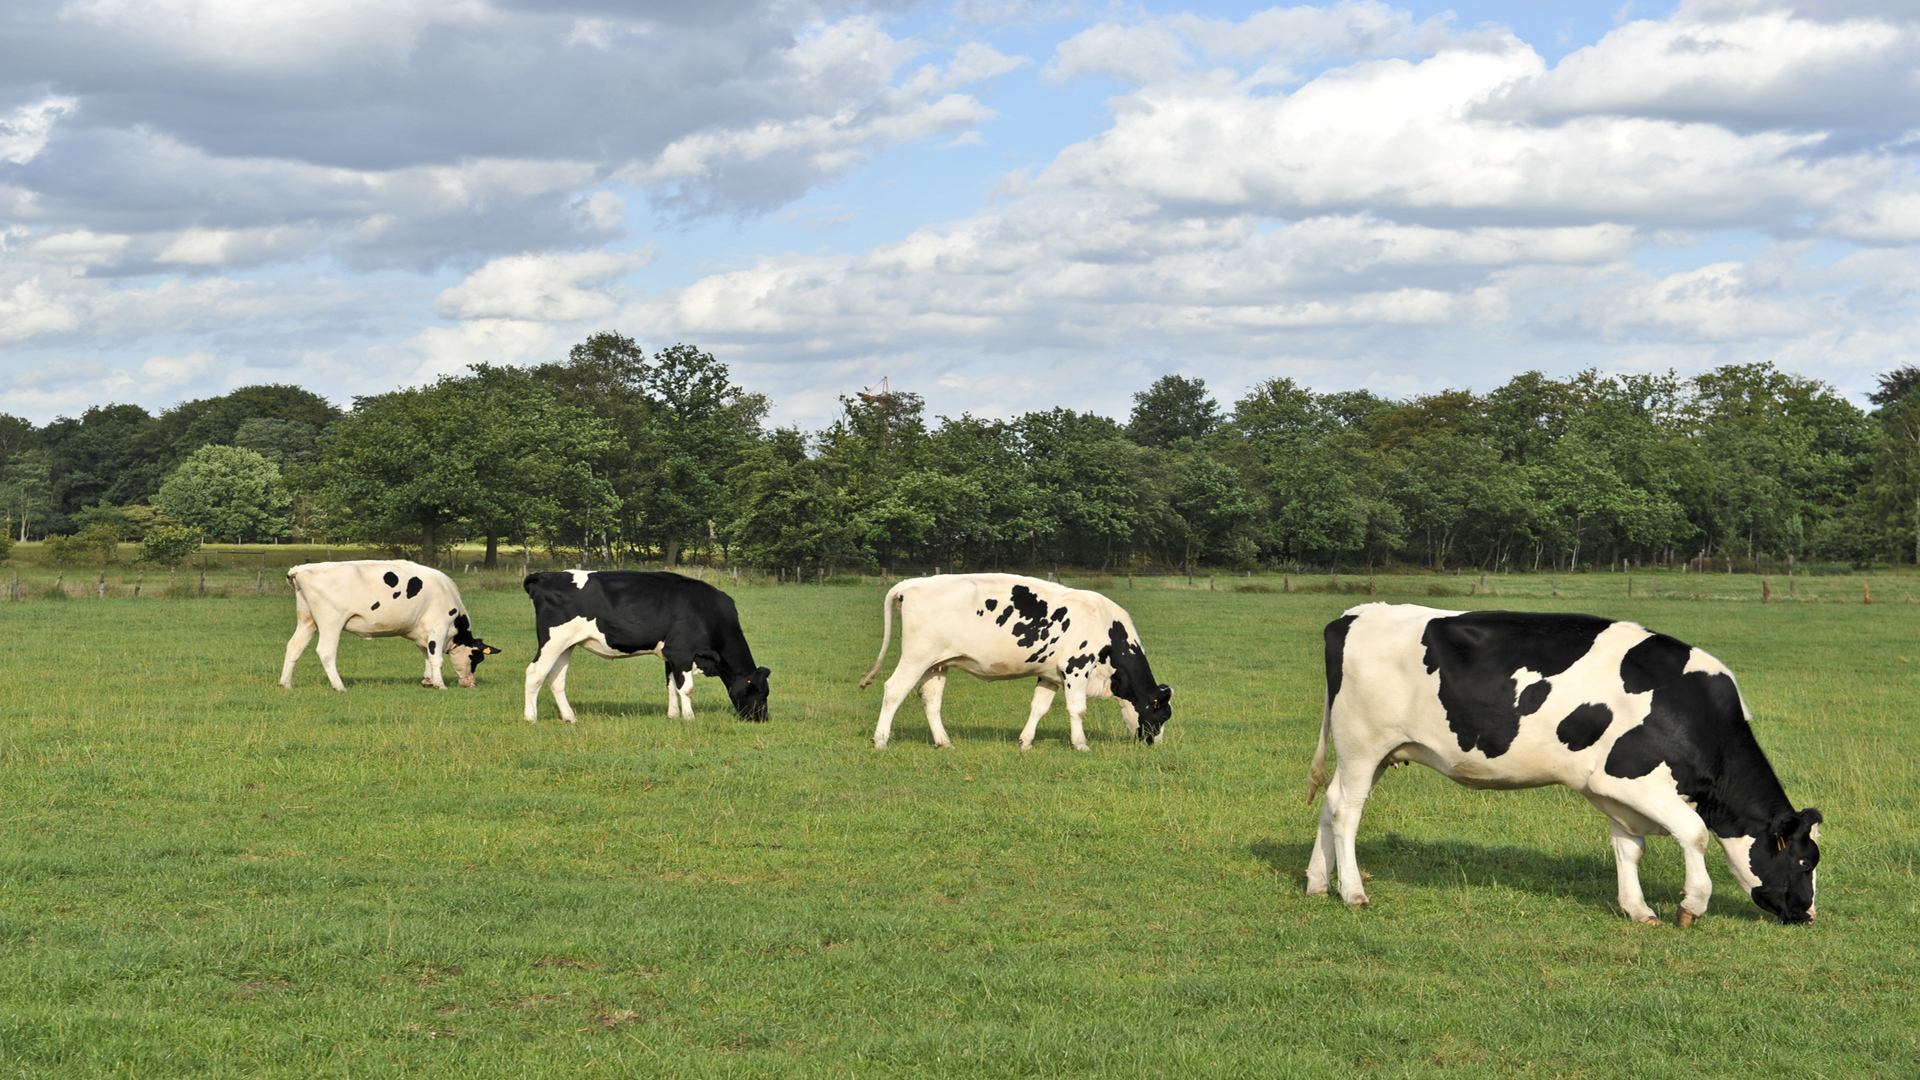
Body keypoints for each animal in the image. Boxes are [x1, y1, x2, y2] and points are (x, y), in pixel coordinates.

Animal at [279, 560, 497, 691]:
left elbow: (426, 655)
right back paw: (339, 686)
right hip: (331, 621)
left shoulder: (422, 633)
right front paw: (440, 684)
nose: (471, 683)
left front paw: (427, 681)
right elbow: (436, 659)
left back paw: (285, 684)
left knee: (294, 647)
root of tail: (301, 568)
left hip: (307, 621)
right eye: (477, 658)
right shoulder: (438, 627)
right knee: (326, 651)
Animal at [522, 570, 771, 723]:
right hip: (553, 641)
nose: (763, 719)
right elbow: (686, 688)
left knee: (556, 679)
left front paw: (673, 715)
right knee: (535, 673)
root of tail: (546, 576)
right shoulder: (682, 652)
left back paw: (570, 717)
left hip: (567, 645)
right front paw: (689, 718)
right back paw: (530, 717)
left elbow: (672, 686)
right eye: (761, 692)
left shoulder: (671, 655)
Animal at [859, 573, 1172, 750]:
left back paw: (944, 742)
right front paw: (1081, 745)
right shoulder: (1076, 668)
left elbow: (1039, 707)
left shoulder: (1051, 674)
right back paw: (880, 741)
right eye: (1163, 716)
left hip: (937, 663)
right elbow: (1078, 709)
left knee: (931, 699)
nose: (1156, 745)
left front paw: (1026, 742)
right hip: (917, 656)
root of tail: (910, 583)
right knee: (894, 690)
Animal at [1305, 603, 1822, 926]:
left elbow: (1629, 849)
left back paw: (1317, 883)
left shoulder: (1614, 792)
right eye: (1804, 859)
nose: (1807, 914)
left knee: (1330, 803)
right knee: (1348, 812)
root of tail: (1354, 615)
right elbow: (1693, 834)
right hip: (1363, 745)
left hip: (1370, 753)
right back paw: (1353, 892)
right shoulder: (1631, 778)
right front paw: (1691, 904)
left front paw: (1637, 909)